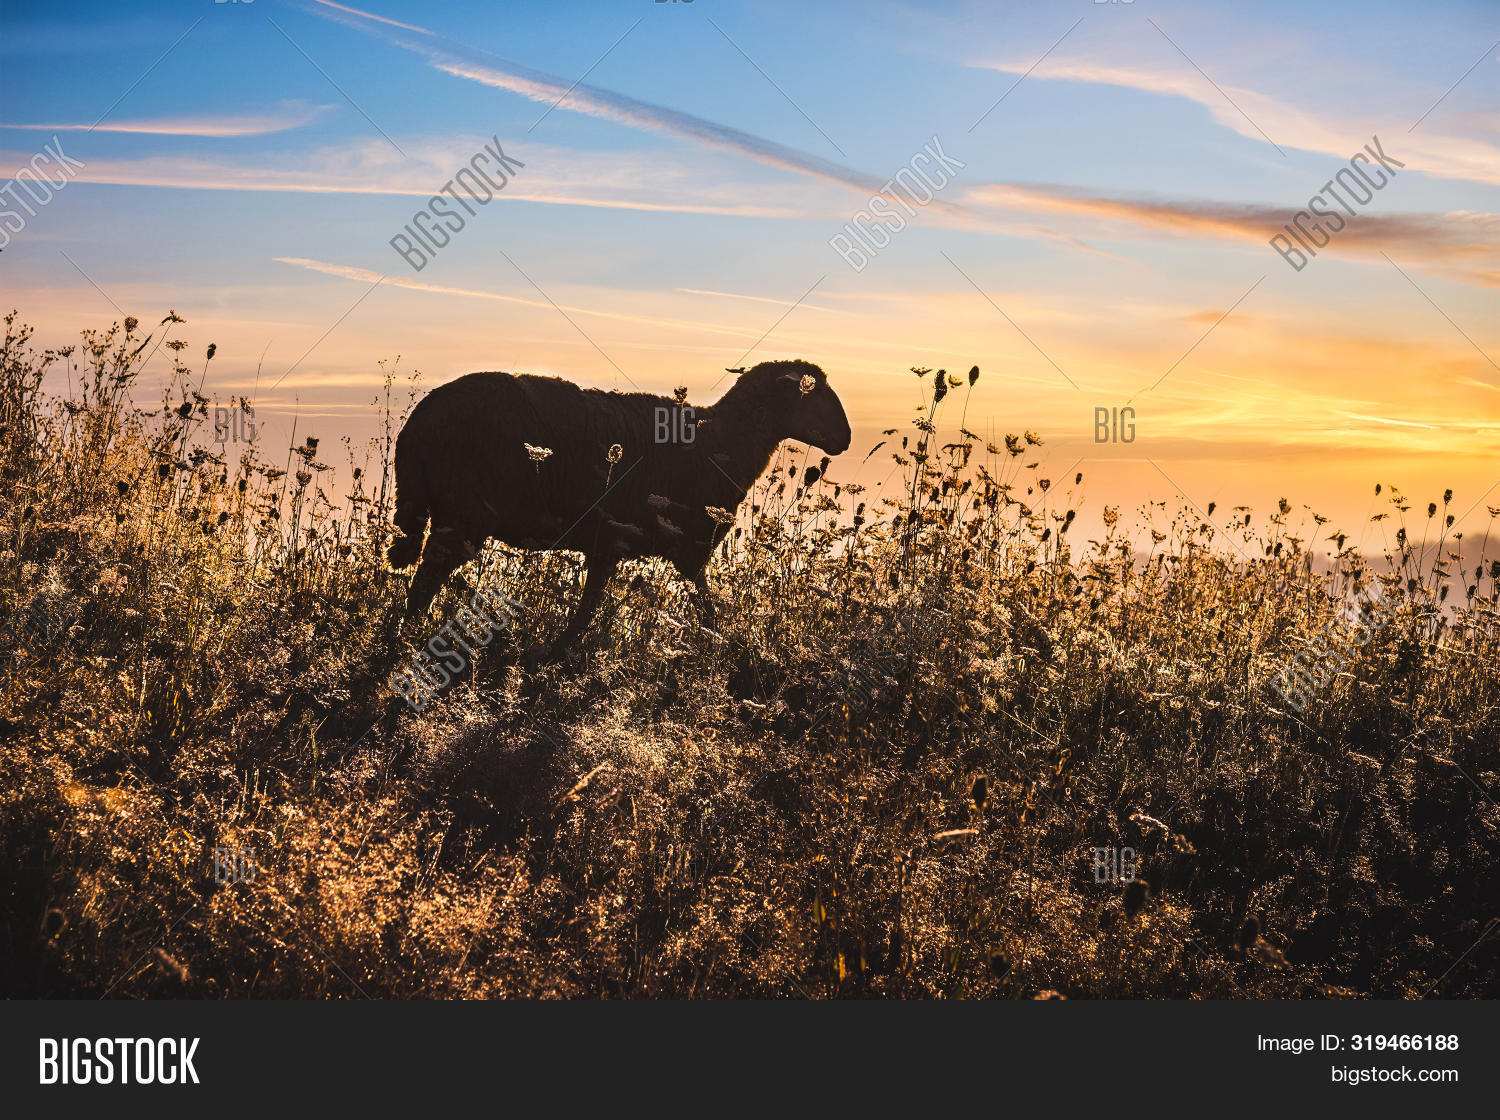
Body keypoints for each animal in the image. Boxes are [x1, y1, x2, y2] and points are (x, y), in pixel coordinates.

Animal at [387, 359, 852, 656]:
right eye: (814, 394)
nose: (846, 438)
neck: (717, 441)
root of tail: (417, 422)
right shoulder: (677, 548)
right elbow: (703, 607)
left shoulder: (611, 544)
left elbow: (591, 606)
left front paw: (552, 654)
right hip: (459, 518)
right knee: (423, 584)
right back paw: (405, 645)